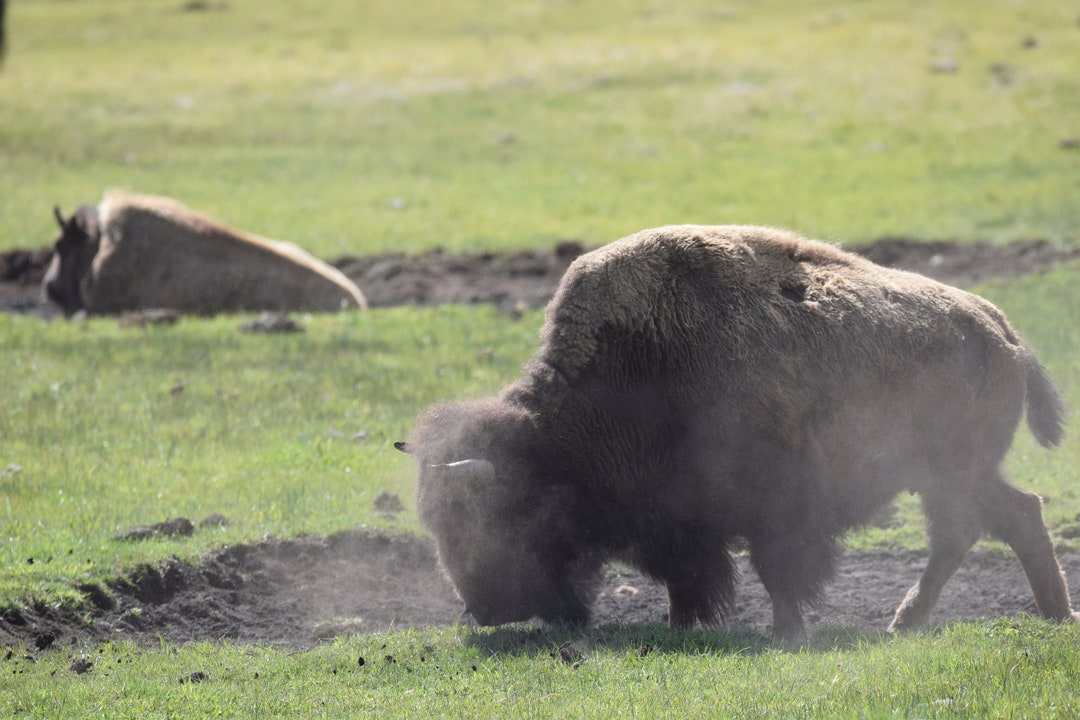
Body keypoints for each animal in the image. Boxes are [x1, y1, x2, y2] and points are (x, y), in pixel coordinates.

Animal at [398, 224, 1076, 639]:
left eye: (500, 516)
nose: (483, 610)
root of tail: (1001, 330)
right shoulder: (680, 527)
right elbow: (691, 576)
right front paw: (681, 624)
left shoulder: (775, 509)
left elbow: (778, 570)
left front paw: (785, 633)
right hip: (949, 476)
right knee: (998, 520)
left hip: (953, 471)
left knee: (993, 522)